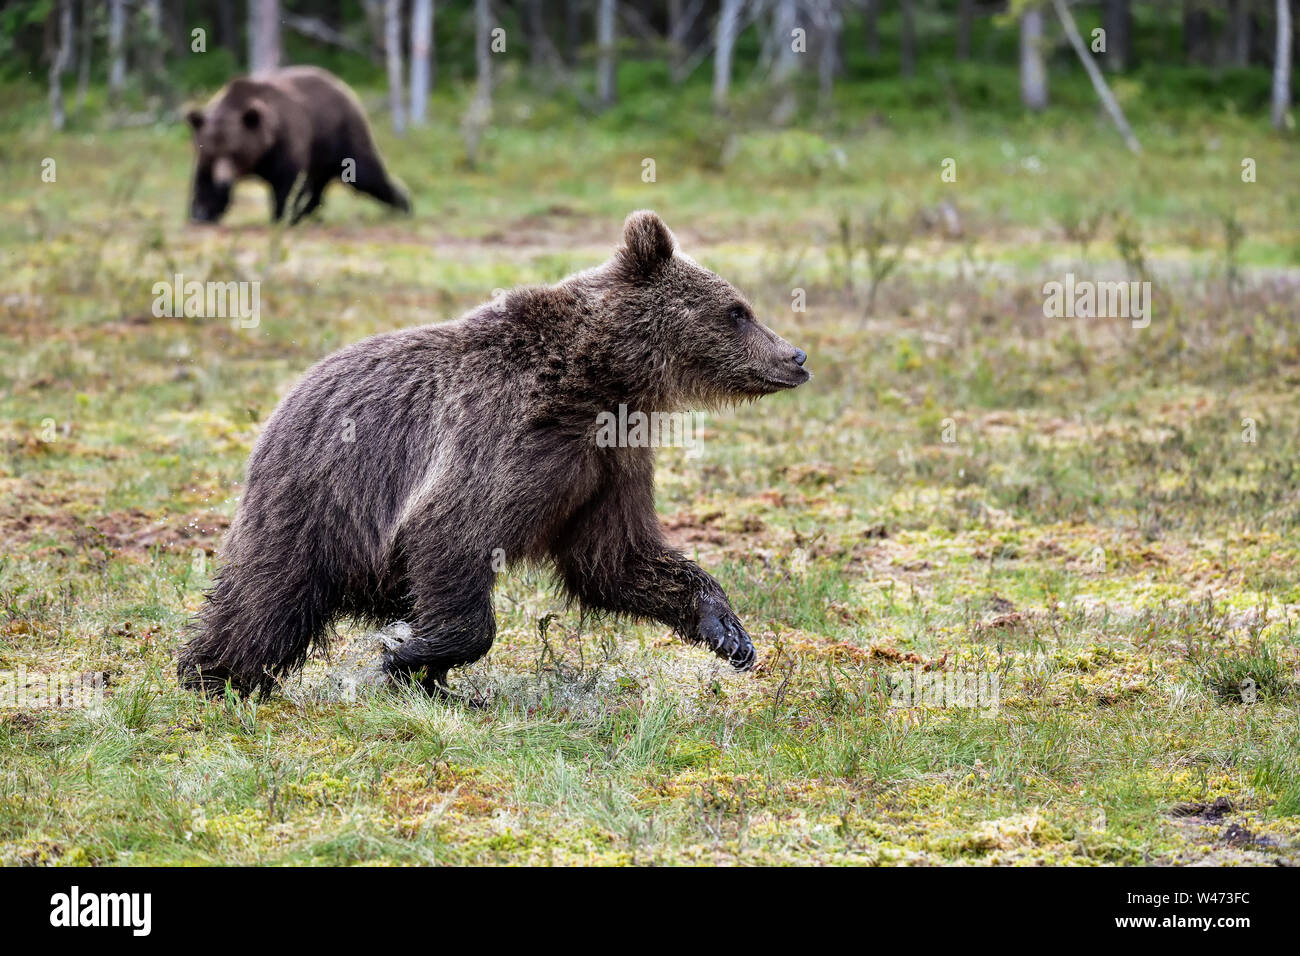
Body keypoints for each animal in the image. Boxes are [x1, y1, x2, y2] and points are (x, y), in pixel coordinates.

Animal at [176, 211, 810, 698]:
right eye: (738, 310)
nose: (796, 356)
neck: (598, 384)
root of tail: (286, 400)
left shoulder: (608, 465)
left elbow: (615, 557)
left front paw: (727, 630)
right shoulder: (504, 438)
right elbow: (453, 534)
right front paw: (407, 655)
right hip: (319, 495)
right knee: (270, 595)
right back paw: (216, 675)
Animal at [185, 65, 411, 225]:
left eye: (235, 152)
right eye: (213, 153)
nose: (223, 181)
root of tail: (341, 85)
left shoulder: (286, 140)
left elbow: (288, 180)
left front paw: (285, 215)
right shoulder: (206, 155)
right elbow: (203, 182)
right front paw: (202, 212)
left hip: (340, 132)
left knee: (365, 173)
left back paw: (404, 204)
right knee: (320, 182)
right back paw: (311, 211)